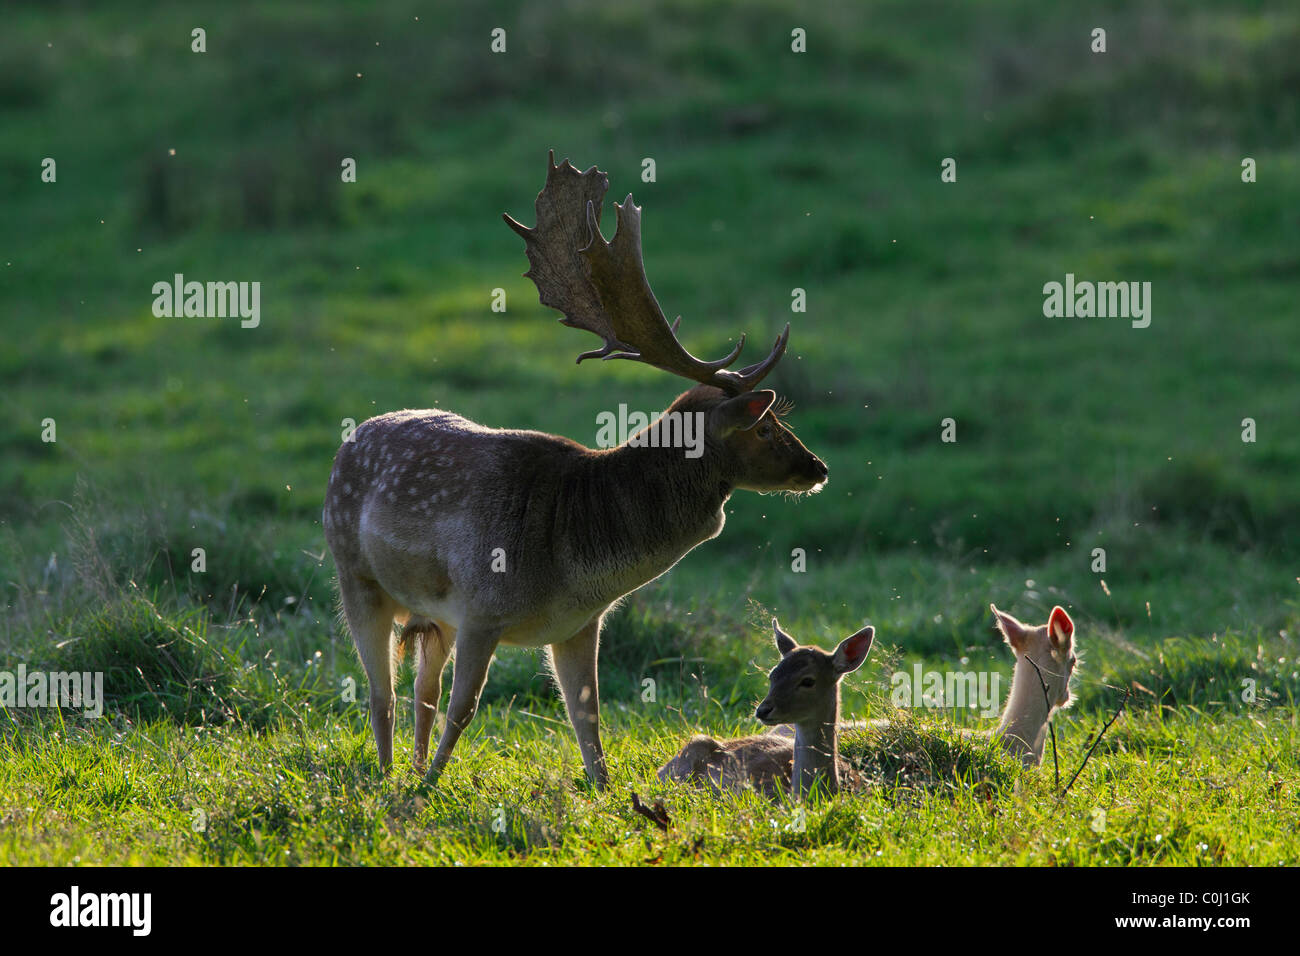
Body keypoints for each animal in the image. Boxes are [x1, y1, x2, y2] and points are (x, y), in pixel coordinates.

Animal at [322, 152, 827, 788]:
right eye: (765, 426)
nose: (817, 467)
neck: (575, 556)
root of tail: (347, 442)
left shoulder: (580, 625)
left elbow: (587, 717)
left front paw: (607, 793)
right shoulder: (484, 607)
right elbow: (467, 707)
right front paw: (432, 788)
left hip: (429, 611)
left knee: (421, 690)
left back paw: (407, 771)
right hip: (354, 573)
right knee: (381, 691)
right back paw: (393, 779)